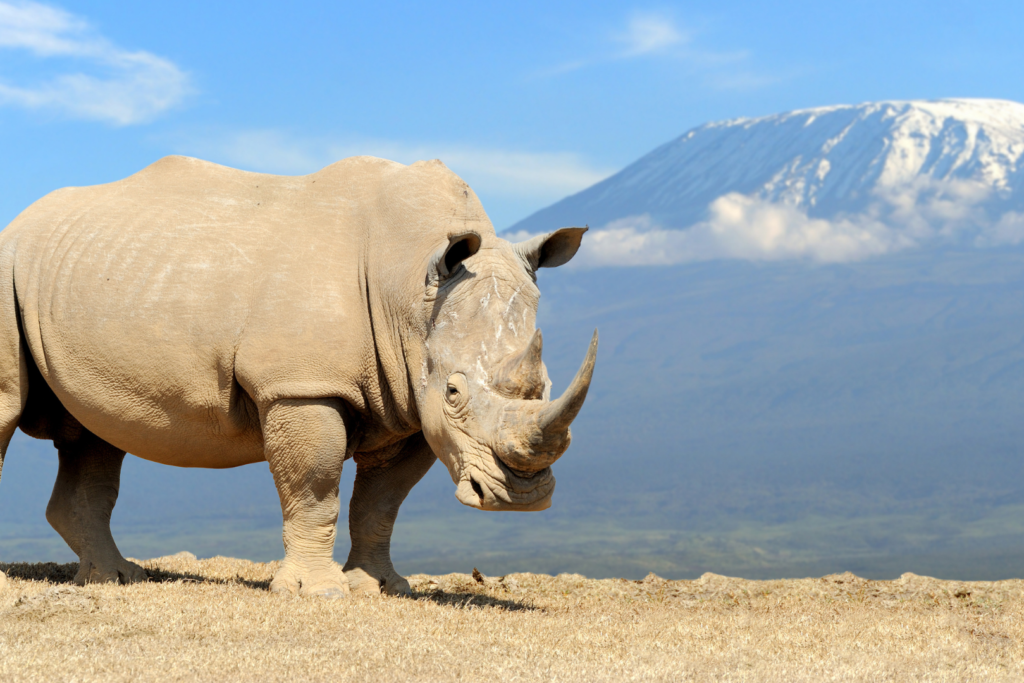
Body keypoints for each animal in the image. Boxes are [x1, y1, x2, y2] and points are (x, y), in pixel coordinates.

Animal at [0, 155, 597, 597]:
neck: (409, 283)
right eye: (453, 393)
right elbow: (315, 485)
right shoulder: (303, 386)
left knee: (94, 434)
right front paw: (319, 592)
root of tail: (21, 220)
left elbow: (382, 501)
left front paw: (380, 586)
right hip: (9, 262)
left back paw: (118, 578)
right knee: (13, 408)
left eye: (545, 386)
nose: (520, 497)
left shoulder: (407, 399)